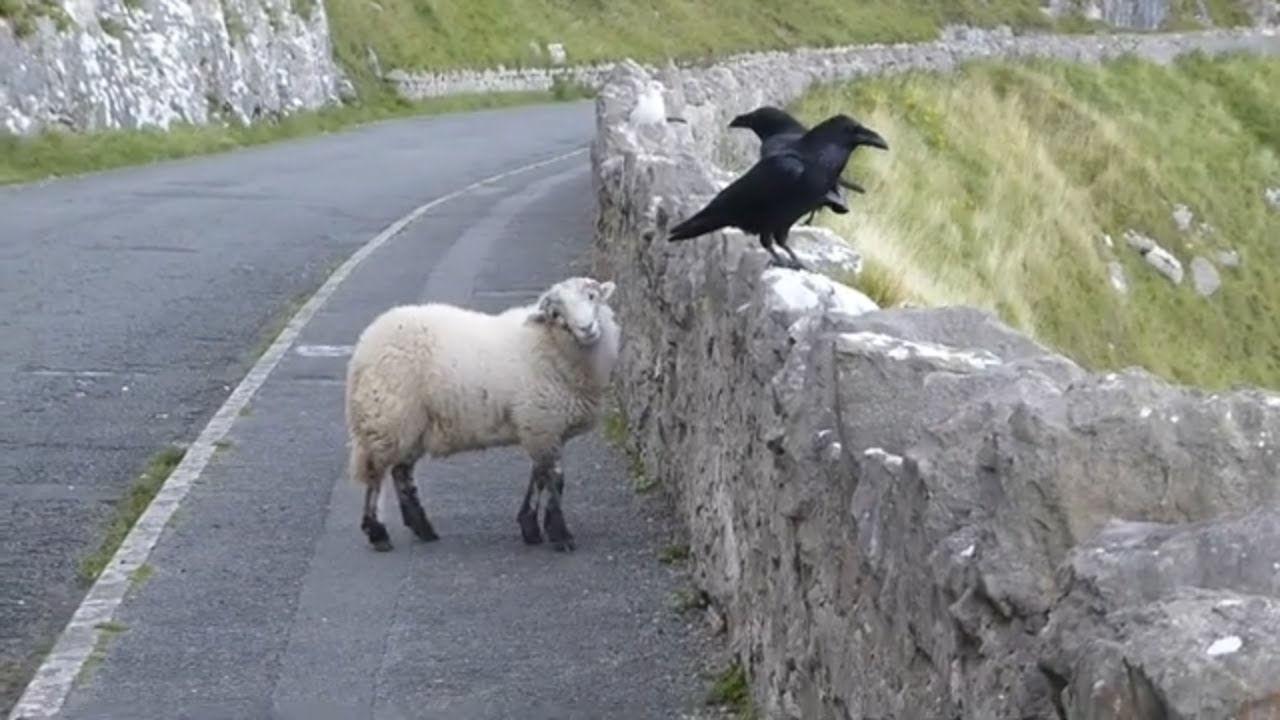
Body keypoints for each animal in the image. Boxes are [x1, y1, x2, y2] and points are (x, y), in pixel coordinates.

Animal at [344, 276, 621, 553]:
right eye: (556, 313)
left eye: (592, 297)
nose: (586, 328)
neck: (546, 343)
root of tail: (366, 342)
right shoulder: (542, 424)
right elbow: (554, 479)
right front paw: (559, 534)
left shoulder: (542, 428)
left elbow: (540, 476)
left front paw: (530, 526)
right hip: (386, 418)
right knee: (376, 475)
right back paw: (378, 532)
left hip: (413, 424)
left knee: (401, 472)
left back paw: (422, 528)